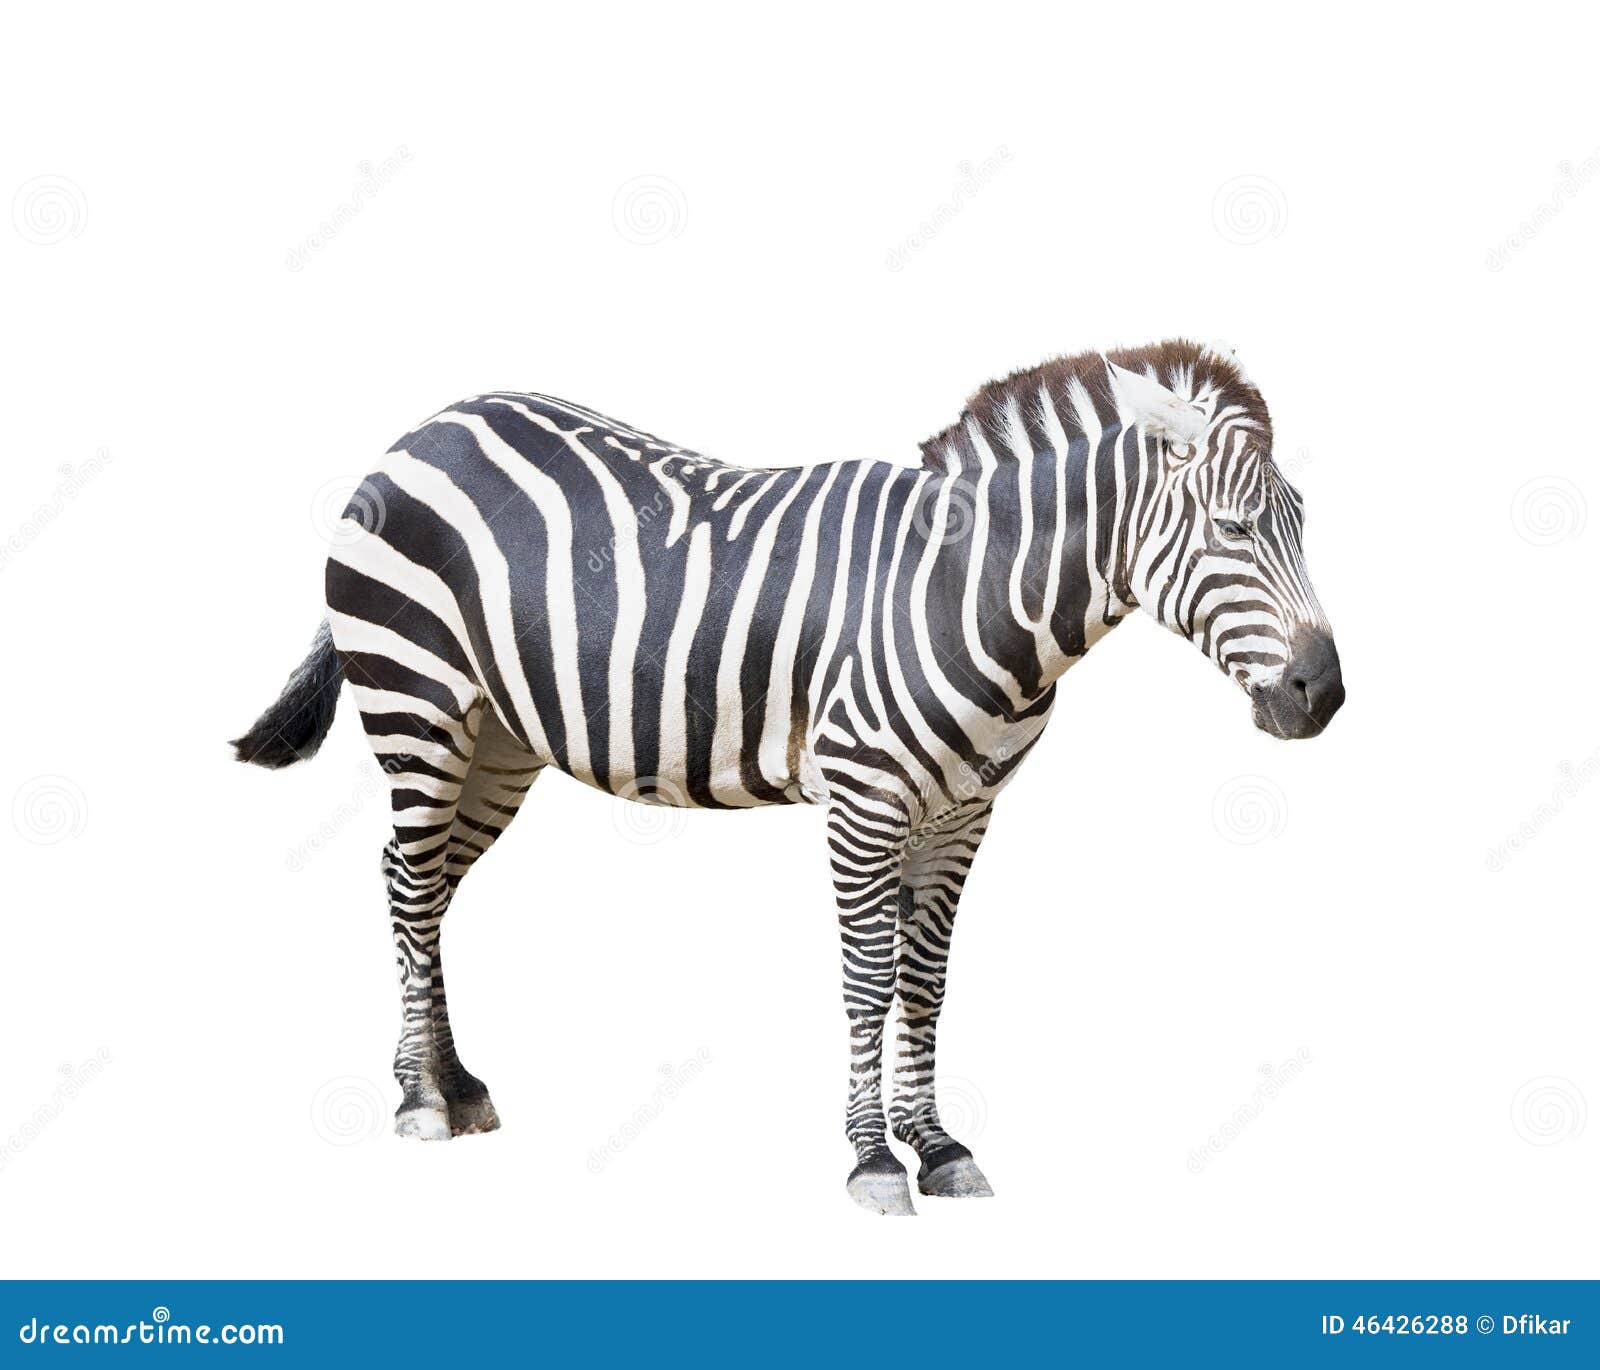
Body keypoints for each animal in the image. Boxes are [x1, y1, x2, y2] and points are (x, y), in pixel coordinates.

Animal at [233, 338, 1343, 1216]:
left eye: (1303, 520)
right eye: (1236, 529)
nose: (1323, 694)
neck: (965, 589)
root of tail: (427, 424)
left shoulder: (962, 813)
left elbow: (925, 982)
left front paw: (938, 1147)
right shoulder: (864, 799)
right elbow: (866, 979)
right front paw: (872, 1161)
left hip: (497, 739)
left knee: (420, 888)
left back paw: (452, 1083)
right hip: (415, 705)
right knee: (408, 882)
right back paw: (418, 1100)